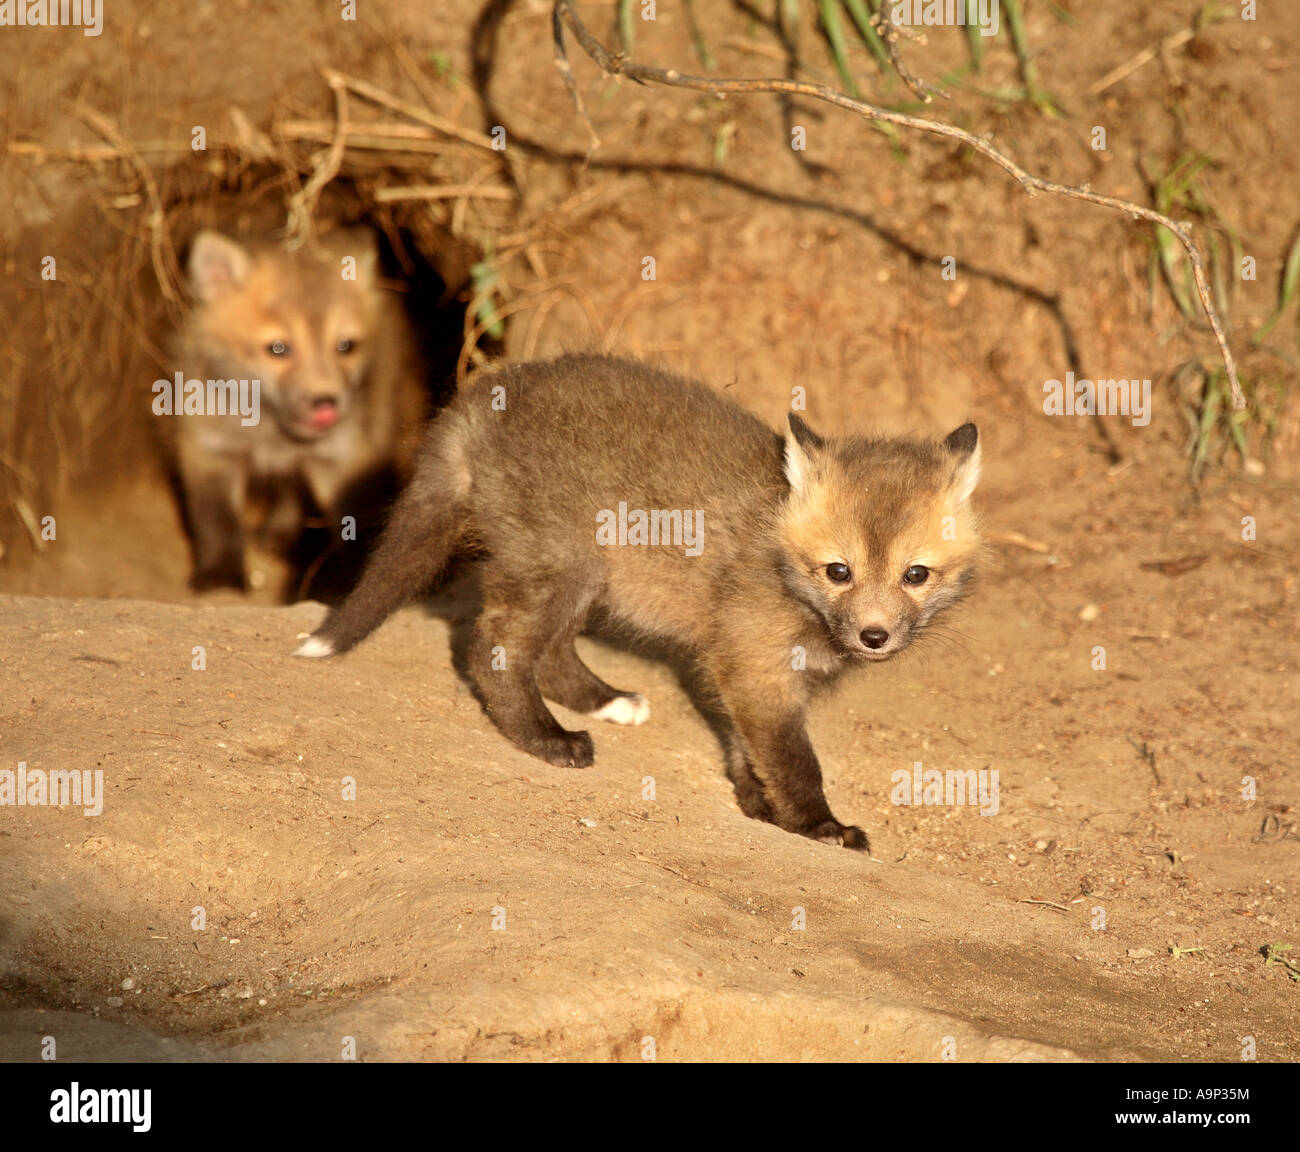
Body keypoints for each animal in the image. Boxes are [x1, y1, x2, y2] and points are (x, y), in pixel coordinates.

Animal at [165, 227, 425, 592]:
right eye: (278, 348)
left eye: (346, 346)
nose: (326, 403)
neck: (274, 437)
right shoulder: (209, 446)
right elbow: (216, 521)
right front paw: (221, 576)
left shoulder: (344, 457)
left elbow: (356, 525)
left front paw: (348, 582)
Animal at [296, 353, 981, 849]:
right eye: (839, 571)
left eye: (915, 575)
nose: (874, 637)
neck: (785, 571)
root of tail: (488, 391)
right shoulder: (756, 668)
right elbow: (795, 762)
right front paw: (818, 826)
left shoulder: (738, 669)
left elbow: (746, 749)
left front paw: (757, 806)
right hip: (562, 567)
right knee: (493, 649)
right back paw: (549, 740)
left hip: (585, 578)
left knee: (550, 652)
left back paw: (606, 700)